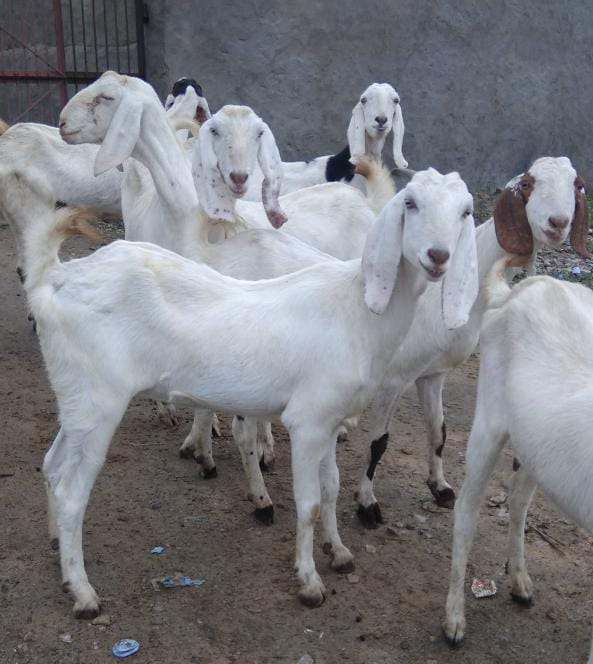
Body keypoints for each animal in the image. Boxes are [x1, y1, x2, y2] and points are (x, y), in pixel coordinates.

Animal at [12, 161, 477, 617]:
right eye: (411, 203)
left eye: (465, 211)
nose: (438, 256)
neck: (356, 310)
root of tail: (56, 278)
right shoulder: (307, 422)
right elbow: (308, 503)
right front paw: (309, 581)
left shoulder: (329, 420)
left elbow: (331, 488)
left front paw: (339, 551)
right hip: (100, 402)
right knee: (72, 493)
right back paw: (83, 593)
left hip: (77, 397)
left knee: (52, 466)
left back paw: (57, 548)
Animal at [354, 157, 591, 526]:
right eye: (528, 184)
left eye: (577, 184)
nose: (558, 223)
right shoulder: (392, 379)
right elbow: (377, 442)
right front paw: (367, 504)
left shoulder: (432, 373)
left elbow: (438, 431)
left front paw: (440, 487)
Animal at [443, 254, 593, 663]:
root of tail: (520, 290)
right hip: (488, 424)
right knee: (467, 507)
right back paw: (453, 619)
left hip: (536, 447)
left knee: (519, 498)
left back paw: (519, 581)